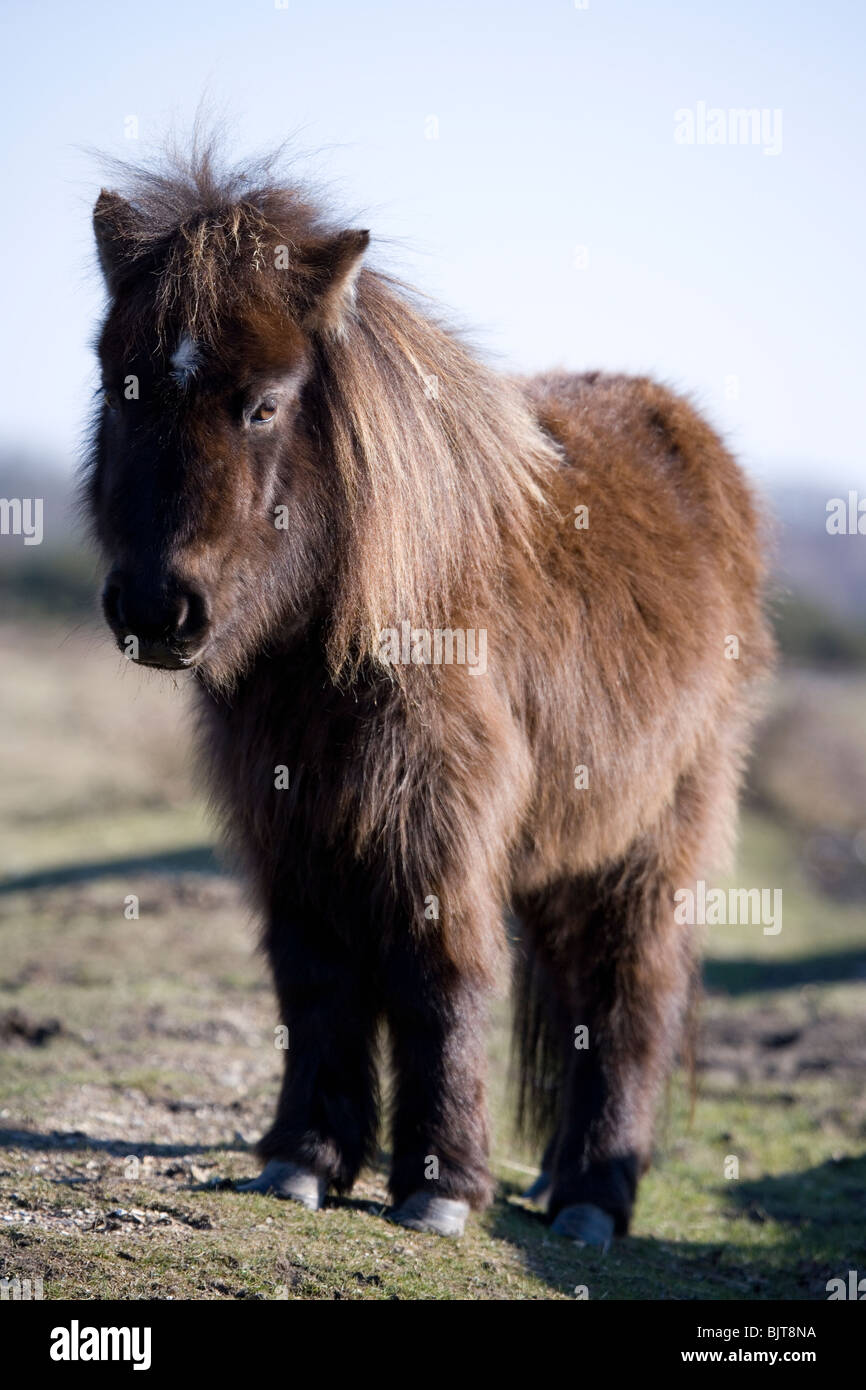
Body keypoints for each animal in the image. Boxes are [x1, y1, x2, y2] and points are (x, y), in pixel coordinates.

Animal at [84, 144, 773, 1243]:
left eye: (263, 404)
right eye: (125, 388)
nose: (157, 606)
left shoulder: (434, 820)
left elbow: (437, 972)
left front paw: (439, 1184)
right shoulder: (291, 821)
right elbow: (314, 977)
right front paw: (304, 1158)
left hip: (654, 833)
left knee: (630, 990)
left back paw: (593, 1196)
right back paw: (557, 1179)